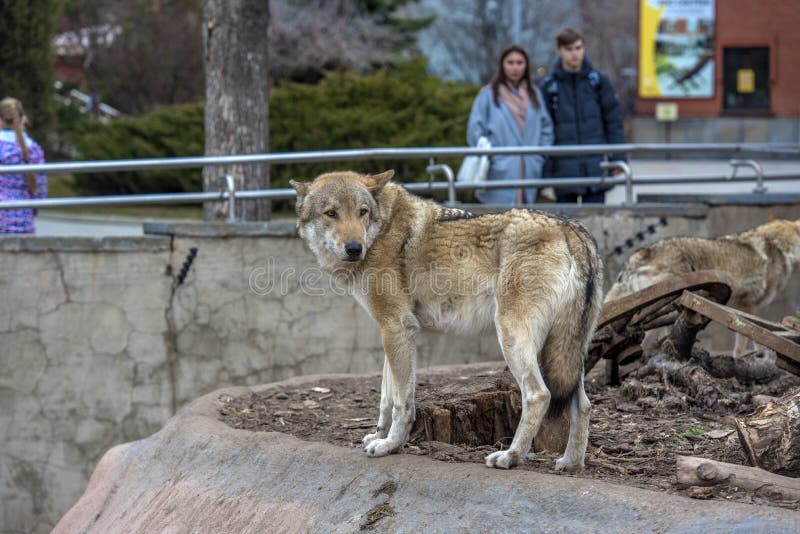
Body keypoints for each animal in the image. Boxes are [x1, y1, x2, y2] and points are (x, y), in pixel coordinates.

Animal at [290, 170, 603, 471]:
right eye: (331, 213)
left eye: (362, 212)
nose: (355, 248)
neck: (382, 230)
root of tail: (571, 228)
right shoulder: (393, 331)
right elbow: (385, 397)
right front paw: (377, 436)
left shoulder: (397, 327)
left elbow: (401, 402)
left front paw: (390, 445)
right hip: (565, 352)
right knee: (584, 404)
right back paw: (571, 463)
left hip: (513, 338)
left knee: (540, 395)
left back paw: (510, 457)